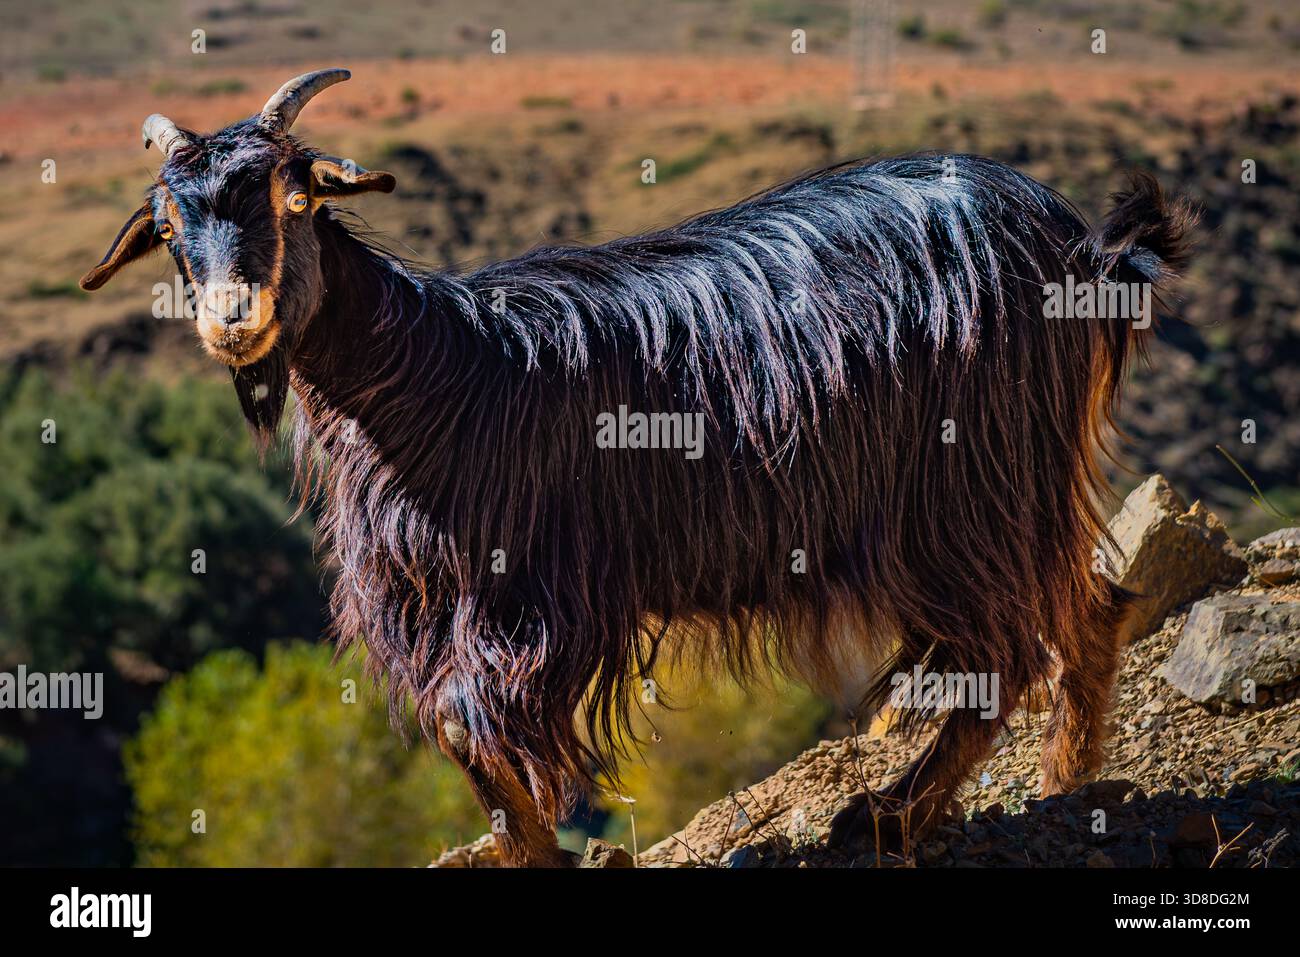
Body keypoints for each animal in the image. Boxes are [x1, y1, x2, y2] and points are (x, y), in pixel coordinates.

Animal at [81, 69, 1196, 866]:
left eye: (295, 194)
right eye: (169, 231)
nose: (234, 322)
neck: (440, 370)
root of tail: (1083, 248)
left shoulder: (537, 594)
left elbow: (471, 718)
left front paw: (543, 851)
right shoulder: (425, 594)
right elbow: (452, 727)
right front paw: (520, 846)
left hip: (968, 491)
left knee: (1004, 647)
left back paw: (888, 814)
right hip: (1011, 490)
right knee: (1088, 609)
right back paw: (1062, 784)